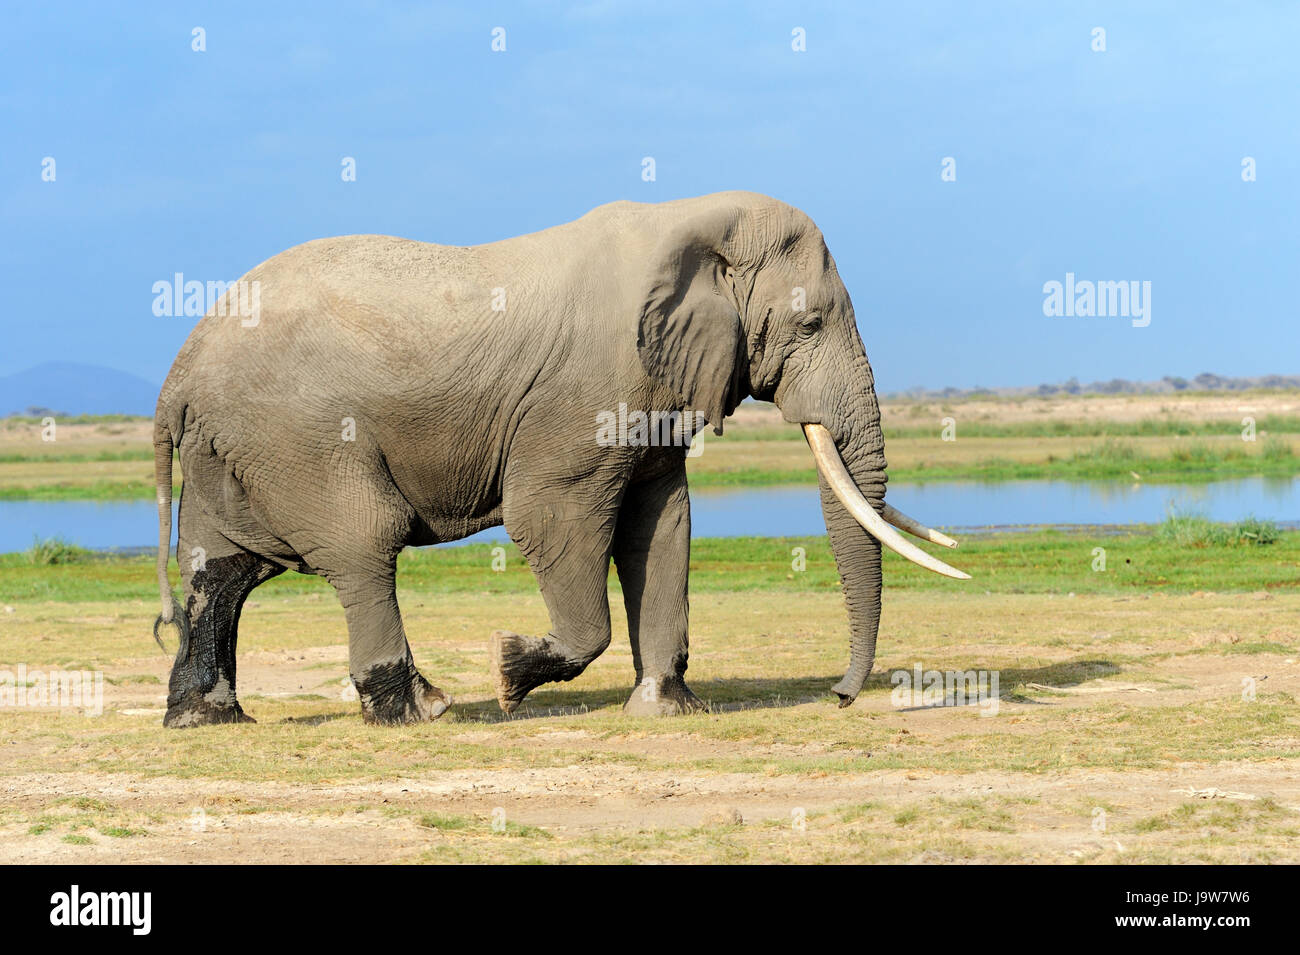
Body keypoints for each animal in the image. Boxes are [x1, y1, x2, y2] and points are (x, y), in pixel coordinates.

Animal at [151, 190, 968, 728]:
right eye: (811, 322)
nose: (839, 695)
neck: (690, 220)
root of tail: (180, 368)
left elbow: (662, 525)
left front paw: (668, 708)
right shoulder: (579, 404)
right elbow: (552, 519)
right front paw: (508, 671)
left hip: (234, 447)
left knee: (224, 566)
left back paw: (206, 719)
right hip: (301, 437)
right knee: (362, 545)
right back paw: (424, 709)